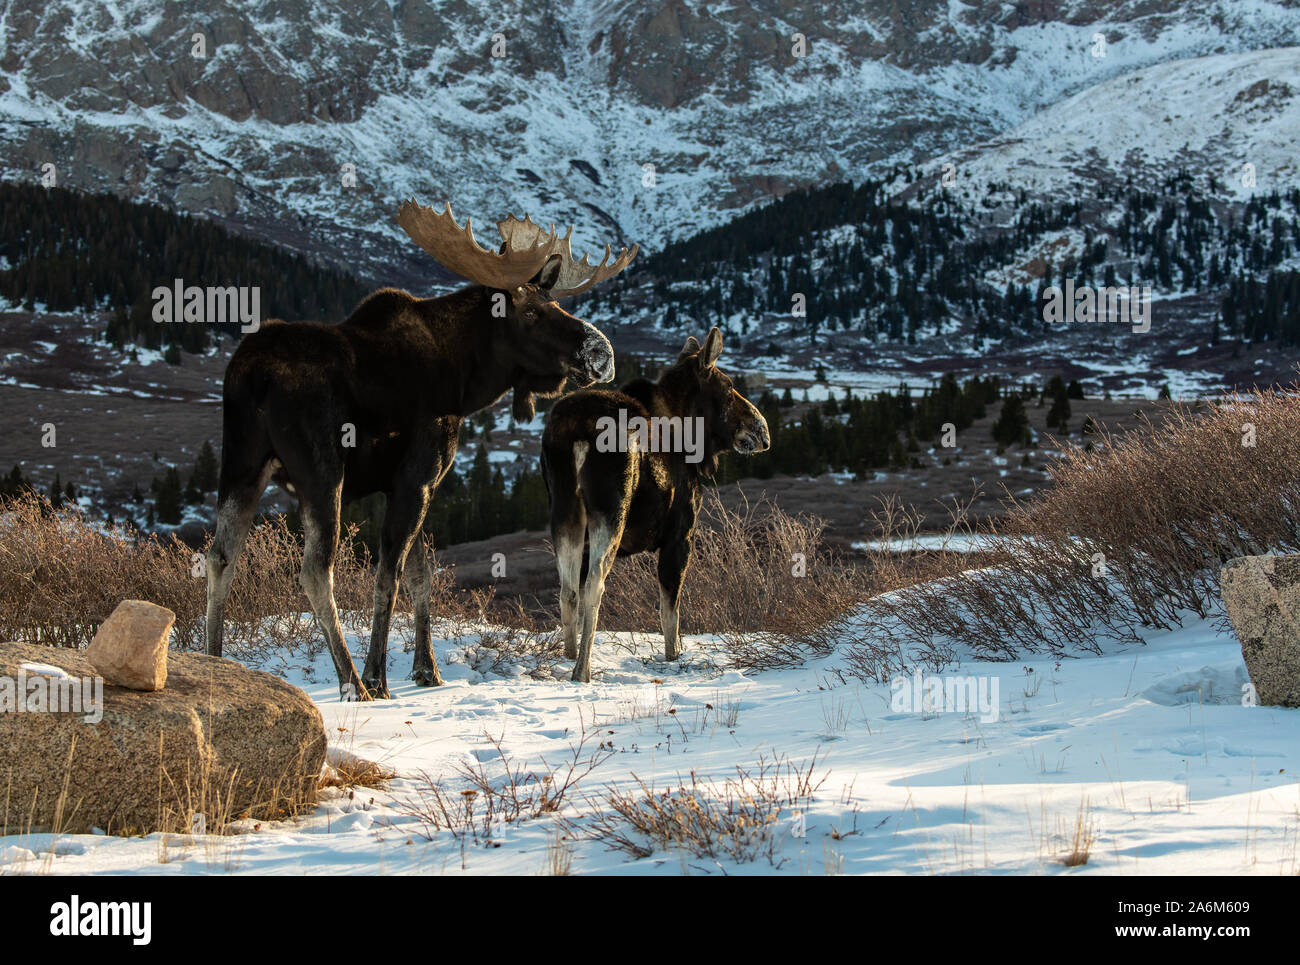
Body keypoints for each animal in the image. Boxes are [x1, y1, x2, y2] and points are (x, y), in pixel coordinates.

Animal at [205, 201, 637, 700]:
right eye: (530, 313)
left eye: (558, 303)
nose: (602, 354)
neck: (465, 378)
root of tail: (252, 375)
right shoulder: (419, 473)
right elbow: (389, 575)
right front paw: (379, 676)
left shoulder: (405, 485)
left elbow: (420, 574)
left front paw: (426, 669)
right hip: (321, 471)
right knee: (314, 569)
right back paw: (353, 682)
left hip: (241, 463)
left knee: (220, 556)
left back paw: (213, 662)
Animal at [541, 327, 770, 682]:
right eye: (729, 389)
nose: (763, 430)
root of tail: (576, 432)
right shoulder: (680, 536)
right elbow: (670, 613)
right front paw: (674, 658)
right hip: (612, 511)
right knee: (594, 585)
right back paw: (582, 670)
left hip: (564, 510)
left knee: (568, 590)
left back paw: (567, 659)